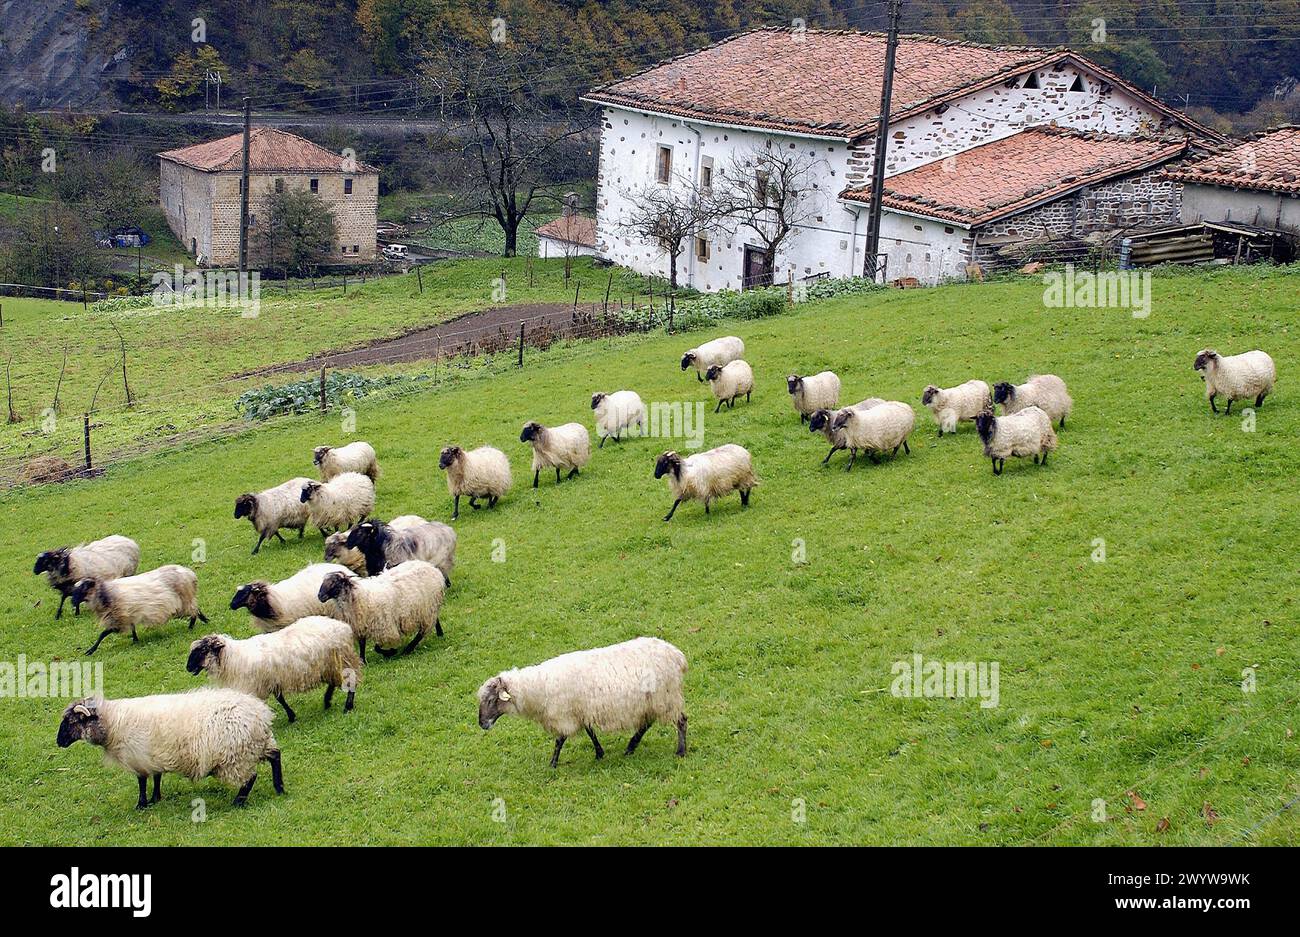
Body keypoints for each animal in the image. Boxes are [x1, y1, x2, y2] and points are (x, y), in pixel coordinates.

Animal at [56, 688, 283, 808]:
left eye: (71, 721)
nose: (58, 741)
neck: (112, 723)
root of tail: (261, 715)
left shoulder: (138, 759)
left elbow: (142, 782)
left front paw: (141, 804)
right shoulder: (152, 757)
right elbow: (157, 778)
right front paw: (156, 798)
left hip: (235, 756)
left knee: (250, 778)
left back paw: (239, 801)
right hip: (258, 744)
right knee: (275, 756)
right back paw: (279, 788)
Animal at [72, 565, 208, 655]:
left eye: (84, 587)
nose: (73, 602)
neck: (105, 594)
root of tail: (189, 573)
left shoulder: (119, 619)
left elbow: (103, 634)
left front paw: (90, 650)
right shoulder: (128, 616)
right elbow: (132, 628)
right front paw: (135, 640)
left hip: (184, 601)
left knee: (193, 611)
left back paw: (191, 627)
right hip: (185, 601)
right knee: (196, 609)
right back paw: (204, 620)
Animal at [187, 616, 362, 722]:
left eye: (202, 650)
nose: (188, 668)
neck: (231, 659)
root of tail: (343, 626)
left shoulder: (257, 686)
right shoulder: (271, 680)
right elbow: (280, 699)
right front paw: (291, 716)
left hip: (342, 660)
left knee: (349, 681)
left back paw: (347, 706)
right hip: (329, 665)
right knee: (333, 682)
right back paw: (327, 701)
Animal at [317, 561, 448, 663]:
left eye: (334, 583)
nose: (319, 596)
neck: (358, 596)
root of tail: (431, 567)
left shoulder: (385, 626)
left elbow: (379, 646)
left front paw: (390, 652)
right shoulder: (360, 626)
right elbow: (363, 645)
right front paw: (363, 661)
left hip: (427, 608)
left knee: (422, 632)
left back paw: (408, 649)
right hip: (427, 607)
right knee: (434, 620)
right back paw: (439, 633)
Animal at [477, 636, 688, 768]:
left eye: (491, 700)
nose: (482, 724)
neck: (537, 687)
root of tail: (677, 655)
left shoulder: (565, 714)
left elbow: (560, 740)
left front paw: (552, 764)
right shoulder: (581, 710)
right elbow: (590, 731)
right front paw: (599, 753)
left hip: (666, 696)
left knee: (681, 720)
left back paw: (680, 751)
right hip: (653, 700)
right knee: (647, 723)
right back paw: (631, 746)